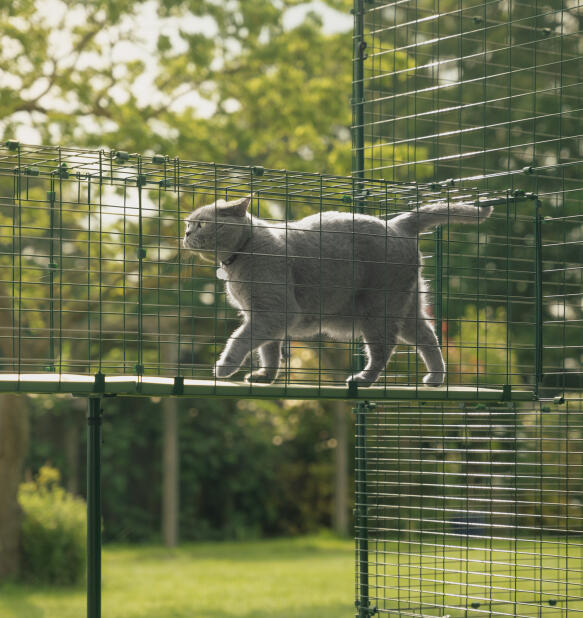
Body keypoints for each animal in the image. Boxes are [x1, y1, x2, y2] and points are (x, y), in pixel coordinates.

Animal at [184, 195, 492, 382]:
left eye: (201, 223)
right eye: (189, 223)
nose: (185, 233)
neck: (242, 253)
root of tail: (396, 224)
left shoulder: (274, 310)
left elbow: (240, 339)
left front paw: (224, 367)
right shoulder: (263, 315)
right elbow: (269, 349)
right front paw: (265, 376)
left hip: (377, 309)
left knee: (384, 348)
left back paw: (364, 379)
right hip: (407, 307)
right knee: (428, 337)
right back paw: (436, 378)